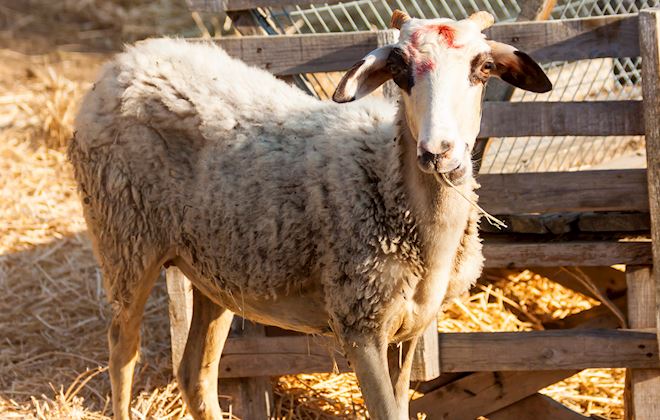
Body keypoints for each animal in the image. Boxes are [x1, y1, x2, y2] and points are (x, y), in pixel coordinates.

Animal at [68, 9, 551, 420]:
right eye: (400, 72)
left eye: (482, 68)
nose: (438, 152)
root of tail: (129, 58)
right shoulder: (359, 323)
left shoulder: (409, 329)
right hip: (125, 238)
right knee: (122, 350)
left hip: (213, 268)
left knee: (194, 374)